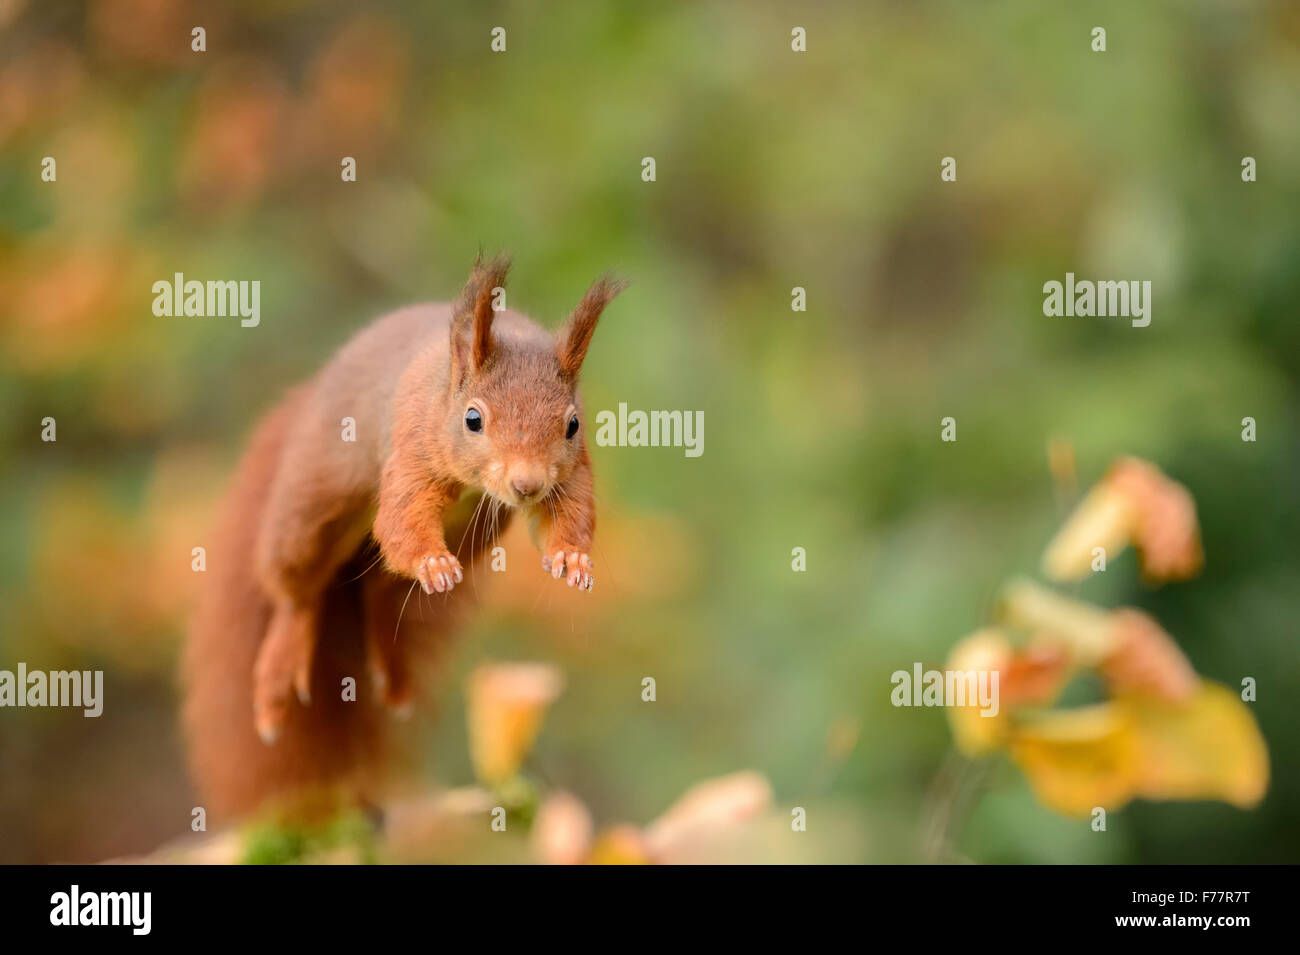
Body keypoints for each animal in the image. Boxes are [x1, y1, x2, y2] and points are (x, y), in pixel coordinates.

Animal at [181, 255, 625, 821]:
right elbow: (401, 520)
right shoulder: (412, 445)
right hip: (312, 504)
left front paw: (571, 557)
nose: (526, 486)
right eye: (473, 418)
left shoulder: (570, 475)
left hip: (472, 536)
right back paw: (283, 664)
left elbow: (570, 513)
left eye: (572, 425)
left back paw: (391, 671)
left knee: (382, 591)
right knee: (298, 589)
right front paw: (431, 563)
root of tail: (312, 390)